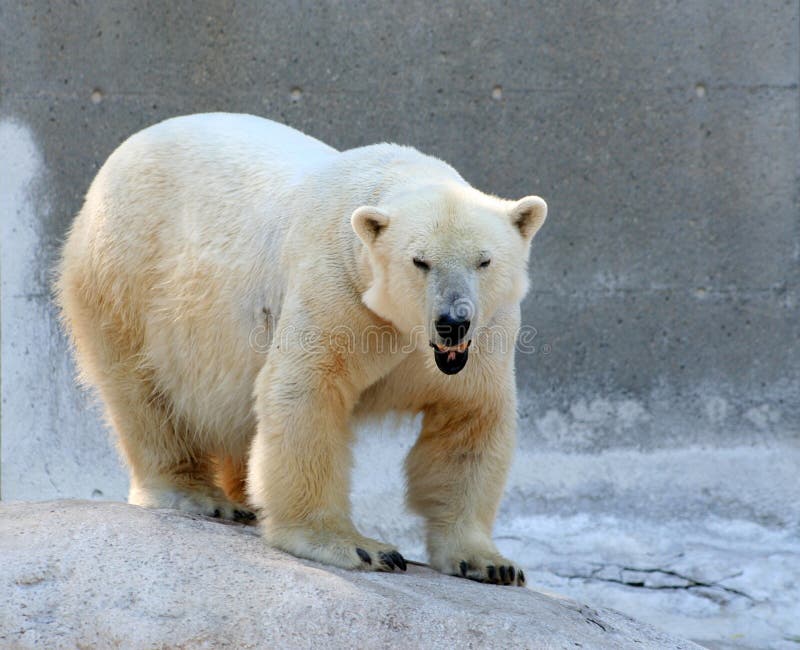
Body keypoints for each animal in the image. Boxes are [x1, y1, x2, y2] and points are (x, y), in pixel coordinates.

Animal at [56, 113, 547, 586]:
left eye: (484, 261)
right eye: (419, 261)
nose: (452, 321)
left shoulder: (485, 334)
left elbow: (469, 417)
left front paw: (489, 563)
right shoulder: (338, 287)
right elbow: (307, 392)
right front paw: (358, 548)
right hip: (128, 274)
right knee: (145, 395)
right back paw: (197, 494)